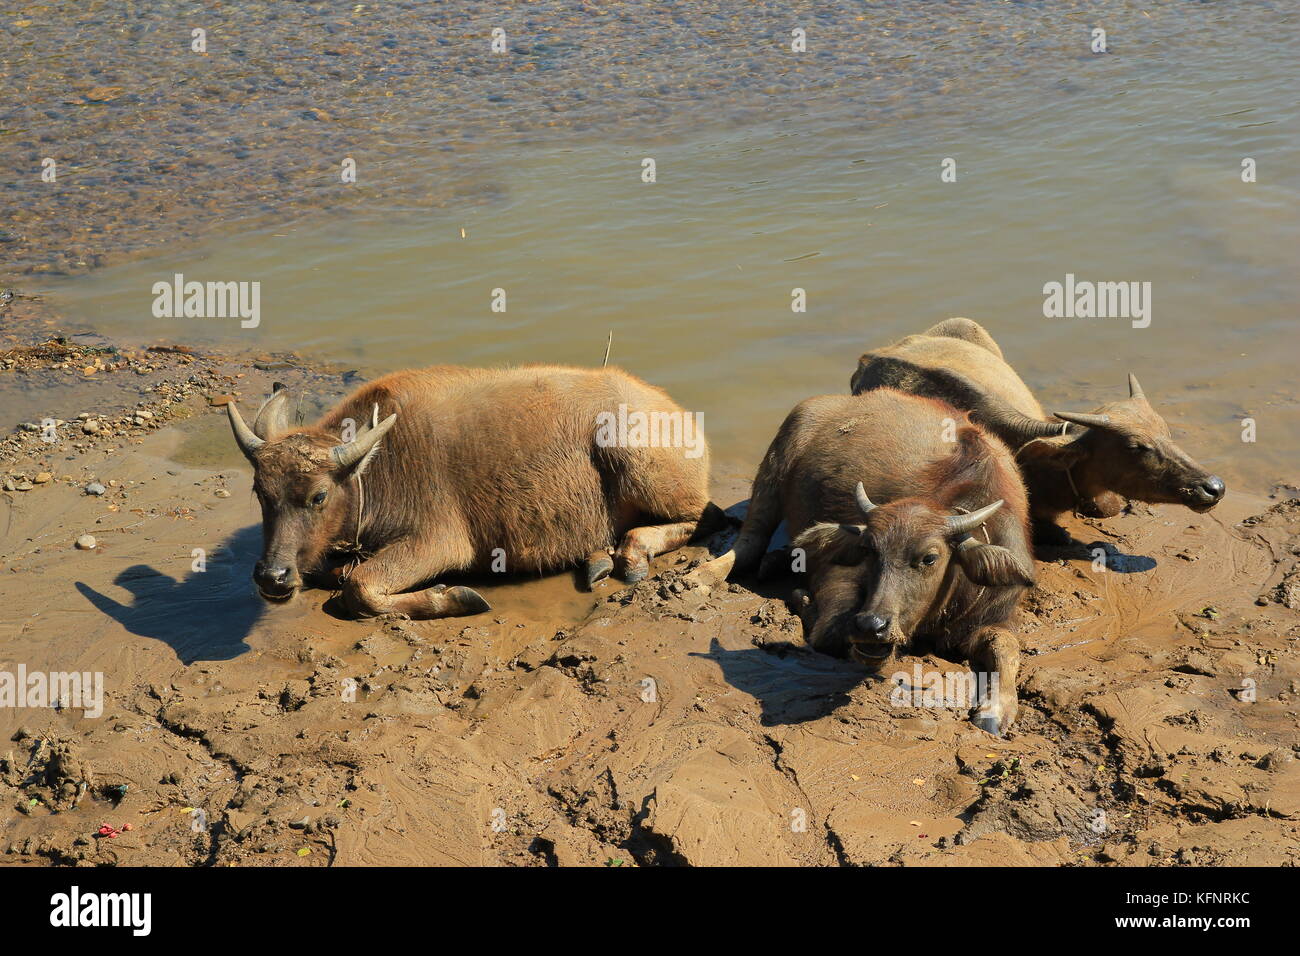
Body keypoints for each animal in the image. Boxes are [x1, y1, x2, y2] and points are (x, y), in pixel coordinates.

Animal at [227, 365, 711, 617]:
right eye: (261, 493)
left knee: (703, 517)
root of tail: (677, 413)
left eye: (319, 497)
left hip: (640, 465)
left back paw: (630, 553)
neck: (376, 467)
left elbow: (359, 586)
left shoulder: (437, 542)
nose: (272, 577)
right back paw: (597, 559)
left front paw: (452, 596)